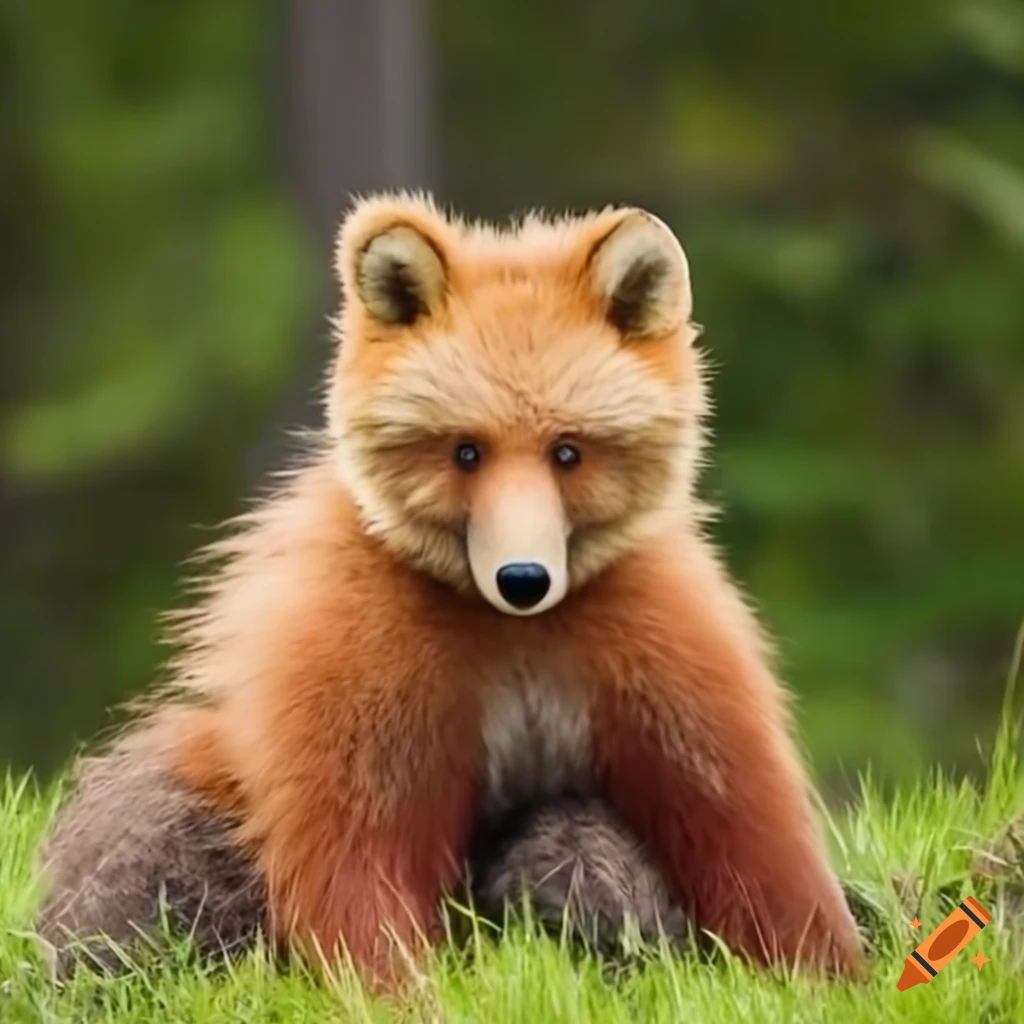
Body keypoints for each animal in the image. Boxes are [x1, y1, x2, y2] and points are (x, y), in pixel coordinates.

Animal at [35, 193, 864, 989]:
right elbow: (360, 906)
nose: (523, 579)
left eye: (568, 451)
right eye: (466, 450)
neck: (518, 647)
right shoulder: (362, 710)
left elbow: (764, 871)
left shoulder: (676, 687)